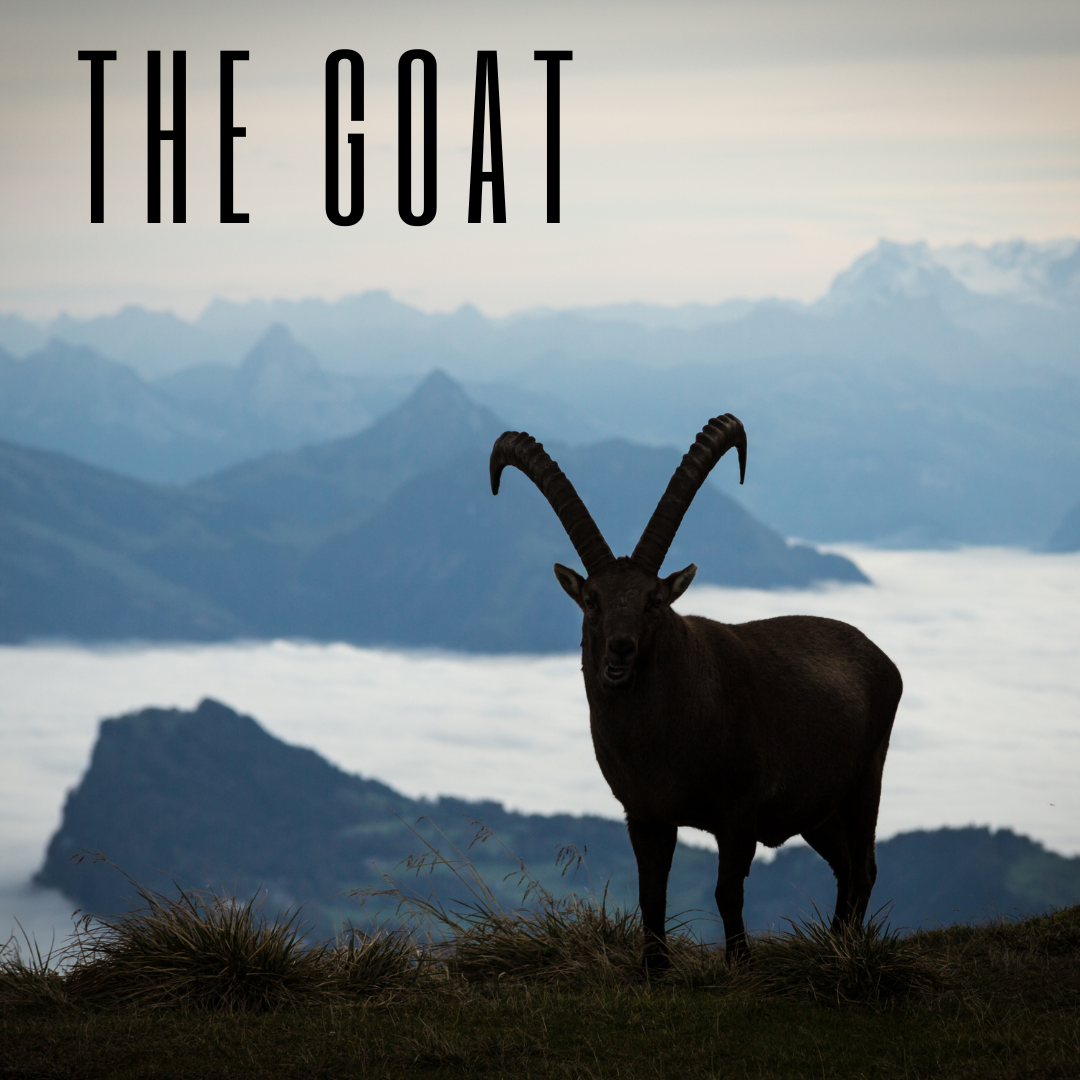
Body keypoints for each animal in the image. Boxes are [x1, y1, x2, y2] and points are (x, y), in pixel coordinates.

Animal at [490, 414, 902, 969]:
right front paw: (653, 968)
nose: (620, 650)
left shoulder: (738, 812)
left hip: (863, 783)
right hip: (816, 808)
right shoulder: (645, 815)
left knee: (863, 867)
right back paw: (834, 944)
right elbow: (651, 893)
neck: (664, 735)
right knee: (845, 866)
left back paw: (844, 950)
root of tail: (883, 661)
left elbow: (727, 891)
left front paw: (740, 964)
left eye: (653, 600)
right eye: (592, 601)